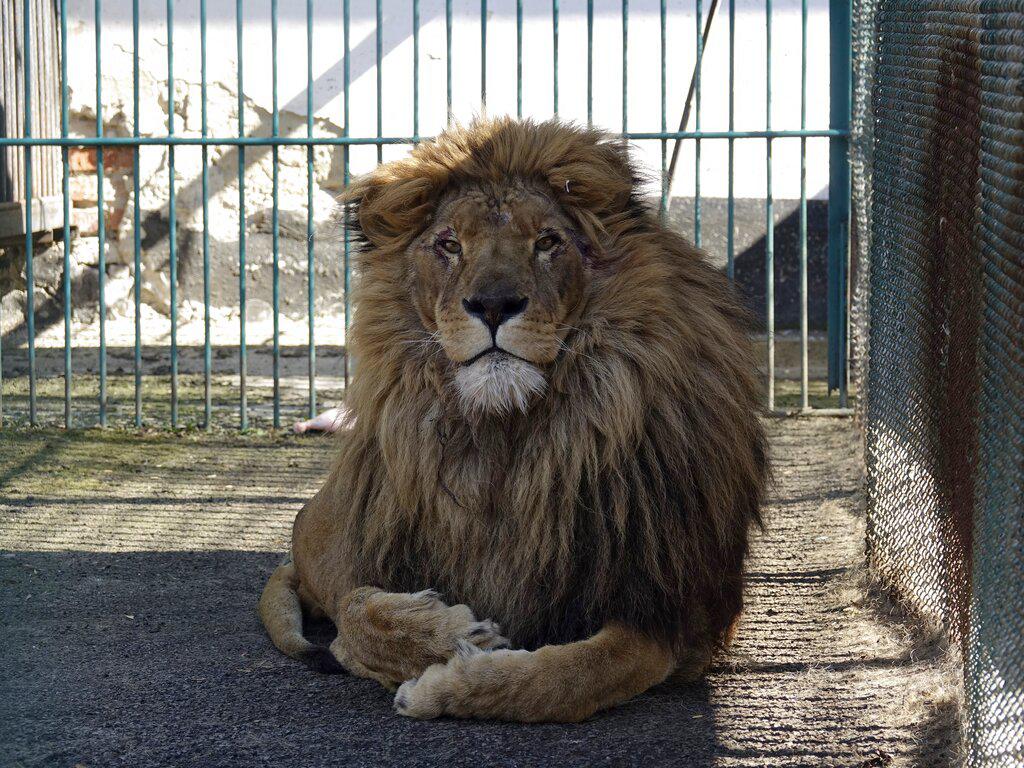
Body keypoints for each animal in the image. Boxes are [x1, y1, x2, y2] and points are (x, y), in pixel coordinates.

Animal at [259, 118, 769, 722]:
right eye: (449, 244)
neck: (512, 435)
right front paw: (452, 636)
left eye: (547, 241)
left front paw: (443, 687)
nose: (494, 304)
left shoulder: (670, 615)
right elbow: (356, 614)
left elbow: (563, 678)